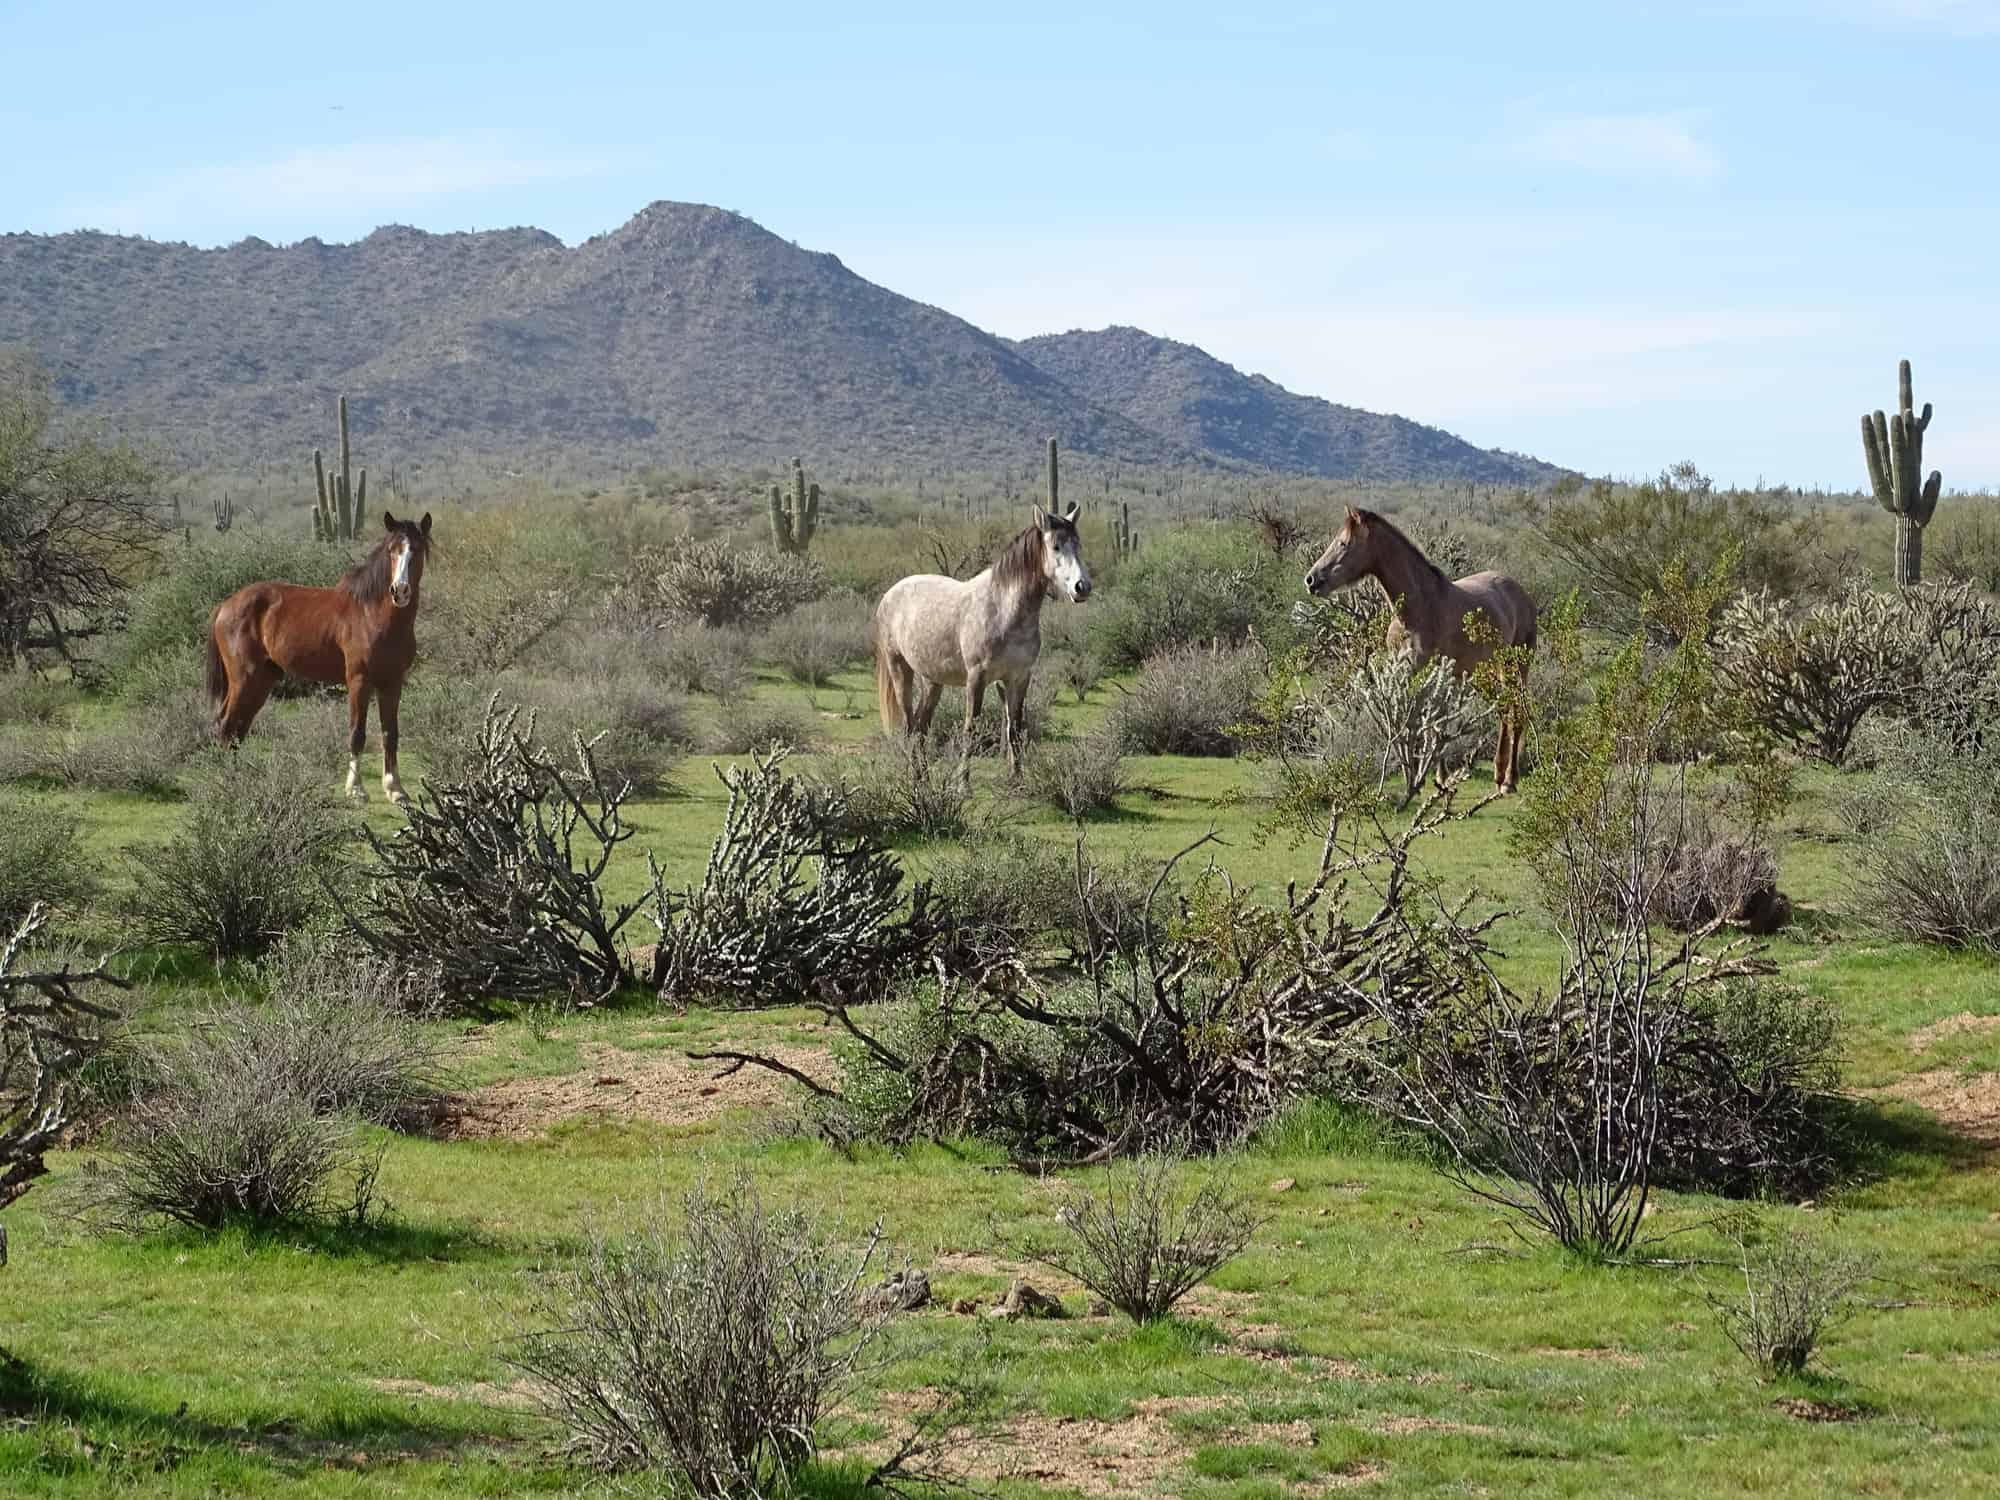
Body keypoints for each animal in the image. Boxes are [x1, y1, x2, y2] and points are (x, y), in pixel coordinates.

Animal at [206, 511, 433, 803]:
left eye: (416, 550)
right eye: (392, 551)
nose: (399, 591)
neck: (374, 615)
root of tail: (225, 606)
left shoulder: (392, 683)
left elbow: (390, 733)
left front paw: (395, 789)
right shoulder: (359, 681)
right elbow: (357, 734)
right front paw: (355, 789)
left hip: (261, 681)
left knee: (237, 728)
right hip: (244, 678)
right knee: (226, 725)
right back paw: (228, 783)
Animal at [874, 502, 1092, 775]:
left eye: (1078, 545)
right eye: (1056, 547)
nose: (1082, 587)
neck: (1003, 608)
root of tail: (889, 595)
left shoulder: (1018, 678)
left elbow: (1014, 730)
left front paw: (1016, 778)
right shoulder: (976, 678)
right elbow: (972, 730)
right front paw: (962, 782)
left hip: (932, 680)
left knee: (921, 728)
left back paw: (922, 777)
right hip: (900, 669)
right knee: (908, 725)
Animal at [1304, 506, 1537, 792]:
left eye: (1344, 543)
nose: (1312, 580)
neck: (1418, 609)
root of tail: (1521, 593)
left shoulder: (1428, 671)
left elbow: (1427, 722)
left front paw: (1425, 777)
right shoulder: (1408, 672)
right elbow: (1420, 723)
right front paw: (1432, 776)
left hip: (1516, 666)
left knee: (1516, 712)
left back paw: (1509, 780)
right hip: (1488, 671)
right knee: (1504, 710)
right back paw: (1498, 774)